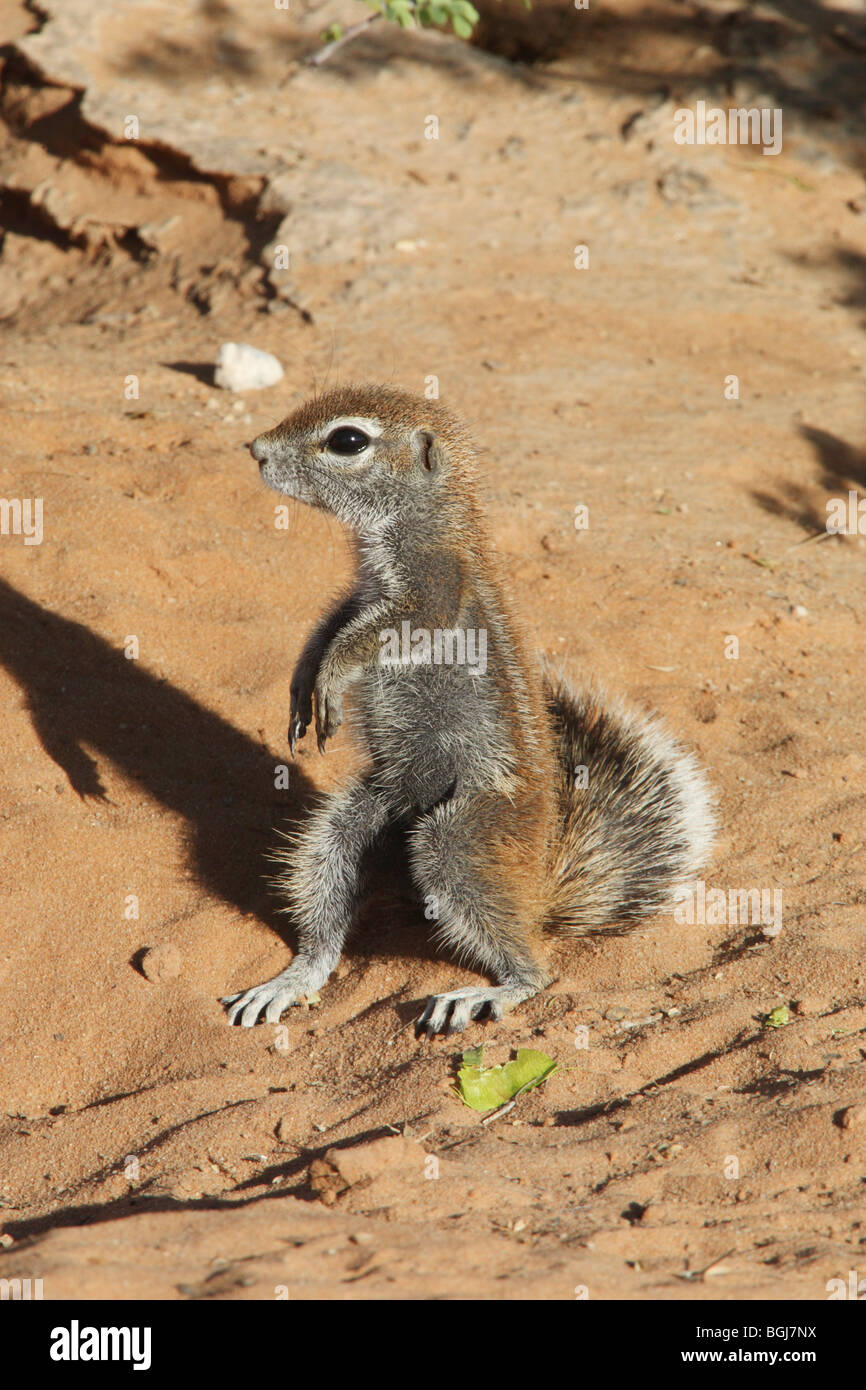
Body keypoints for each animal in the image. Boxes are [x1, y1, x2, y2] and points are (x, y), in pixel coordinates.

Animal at [223, 385, 716, 1036]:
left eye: (347, 440)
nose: (255, 449)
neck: (428, 523)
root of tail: (538, 891)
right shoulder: (355, 597)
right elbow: (328, 628)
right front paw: (306, 680)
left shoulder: (431, 593)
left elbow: (368, 637)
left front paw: (330, 674)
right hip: (353, 822)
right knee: (328, 901)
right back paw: (293, 979)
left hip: (455, 838)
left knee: (536, 965)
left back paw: (493, 990)